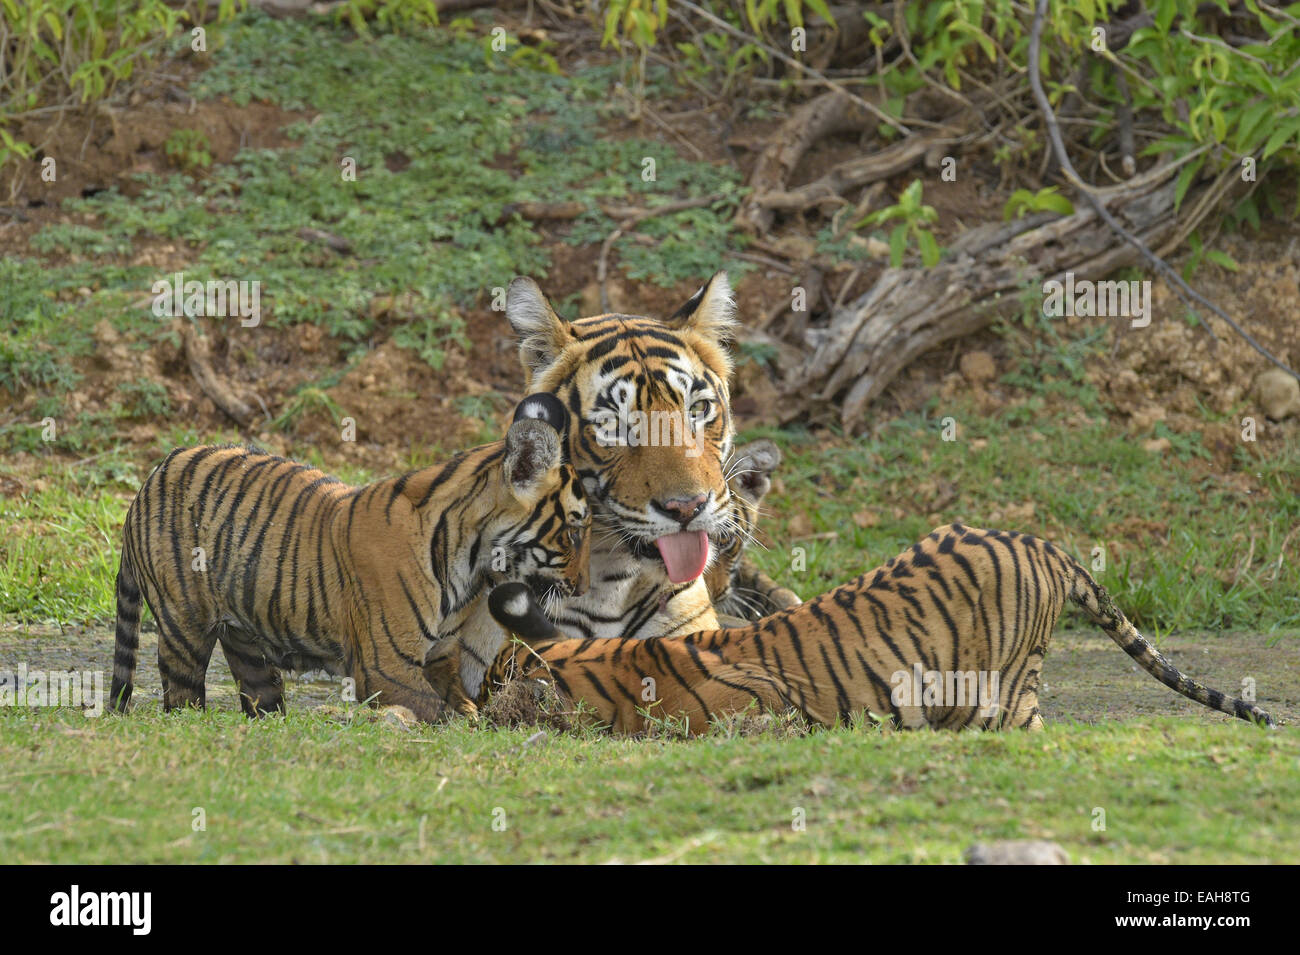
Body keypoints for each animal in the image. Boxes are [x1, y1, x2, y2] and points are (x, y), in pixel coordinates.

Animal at [109, 393, 589, 723]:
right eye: (574, 530)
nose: (581, 588)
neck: (473, 565)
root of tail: (151, 475)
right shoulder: (386, 670)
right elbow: (446, 716)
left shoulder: (441, 659)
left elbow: (464, 708)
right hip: (183, 627)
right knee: (180, 698)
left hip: (249, 648)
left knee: (261, 699)